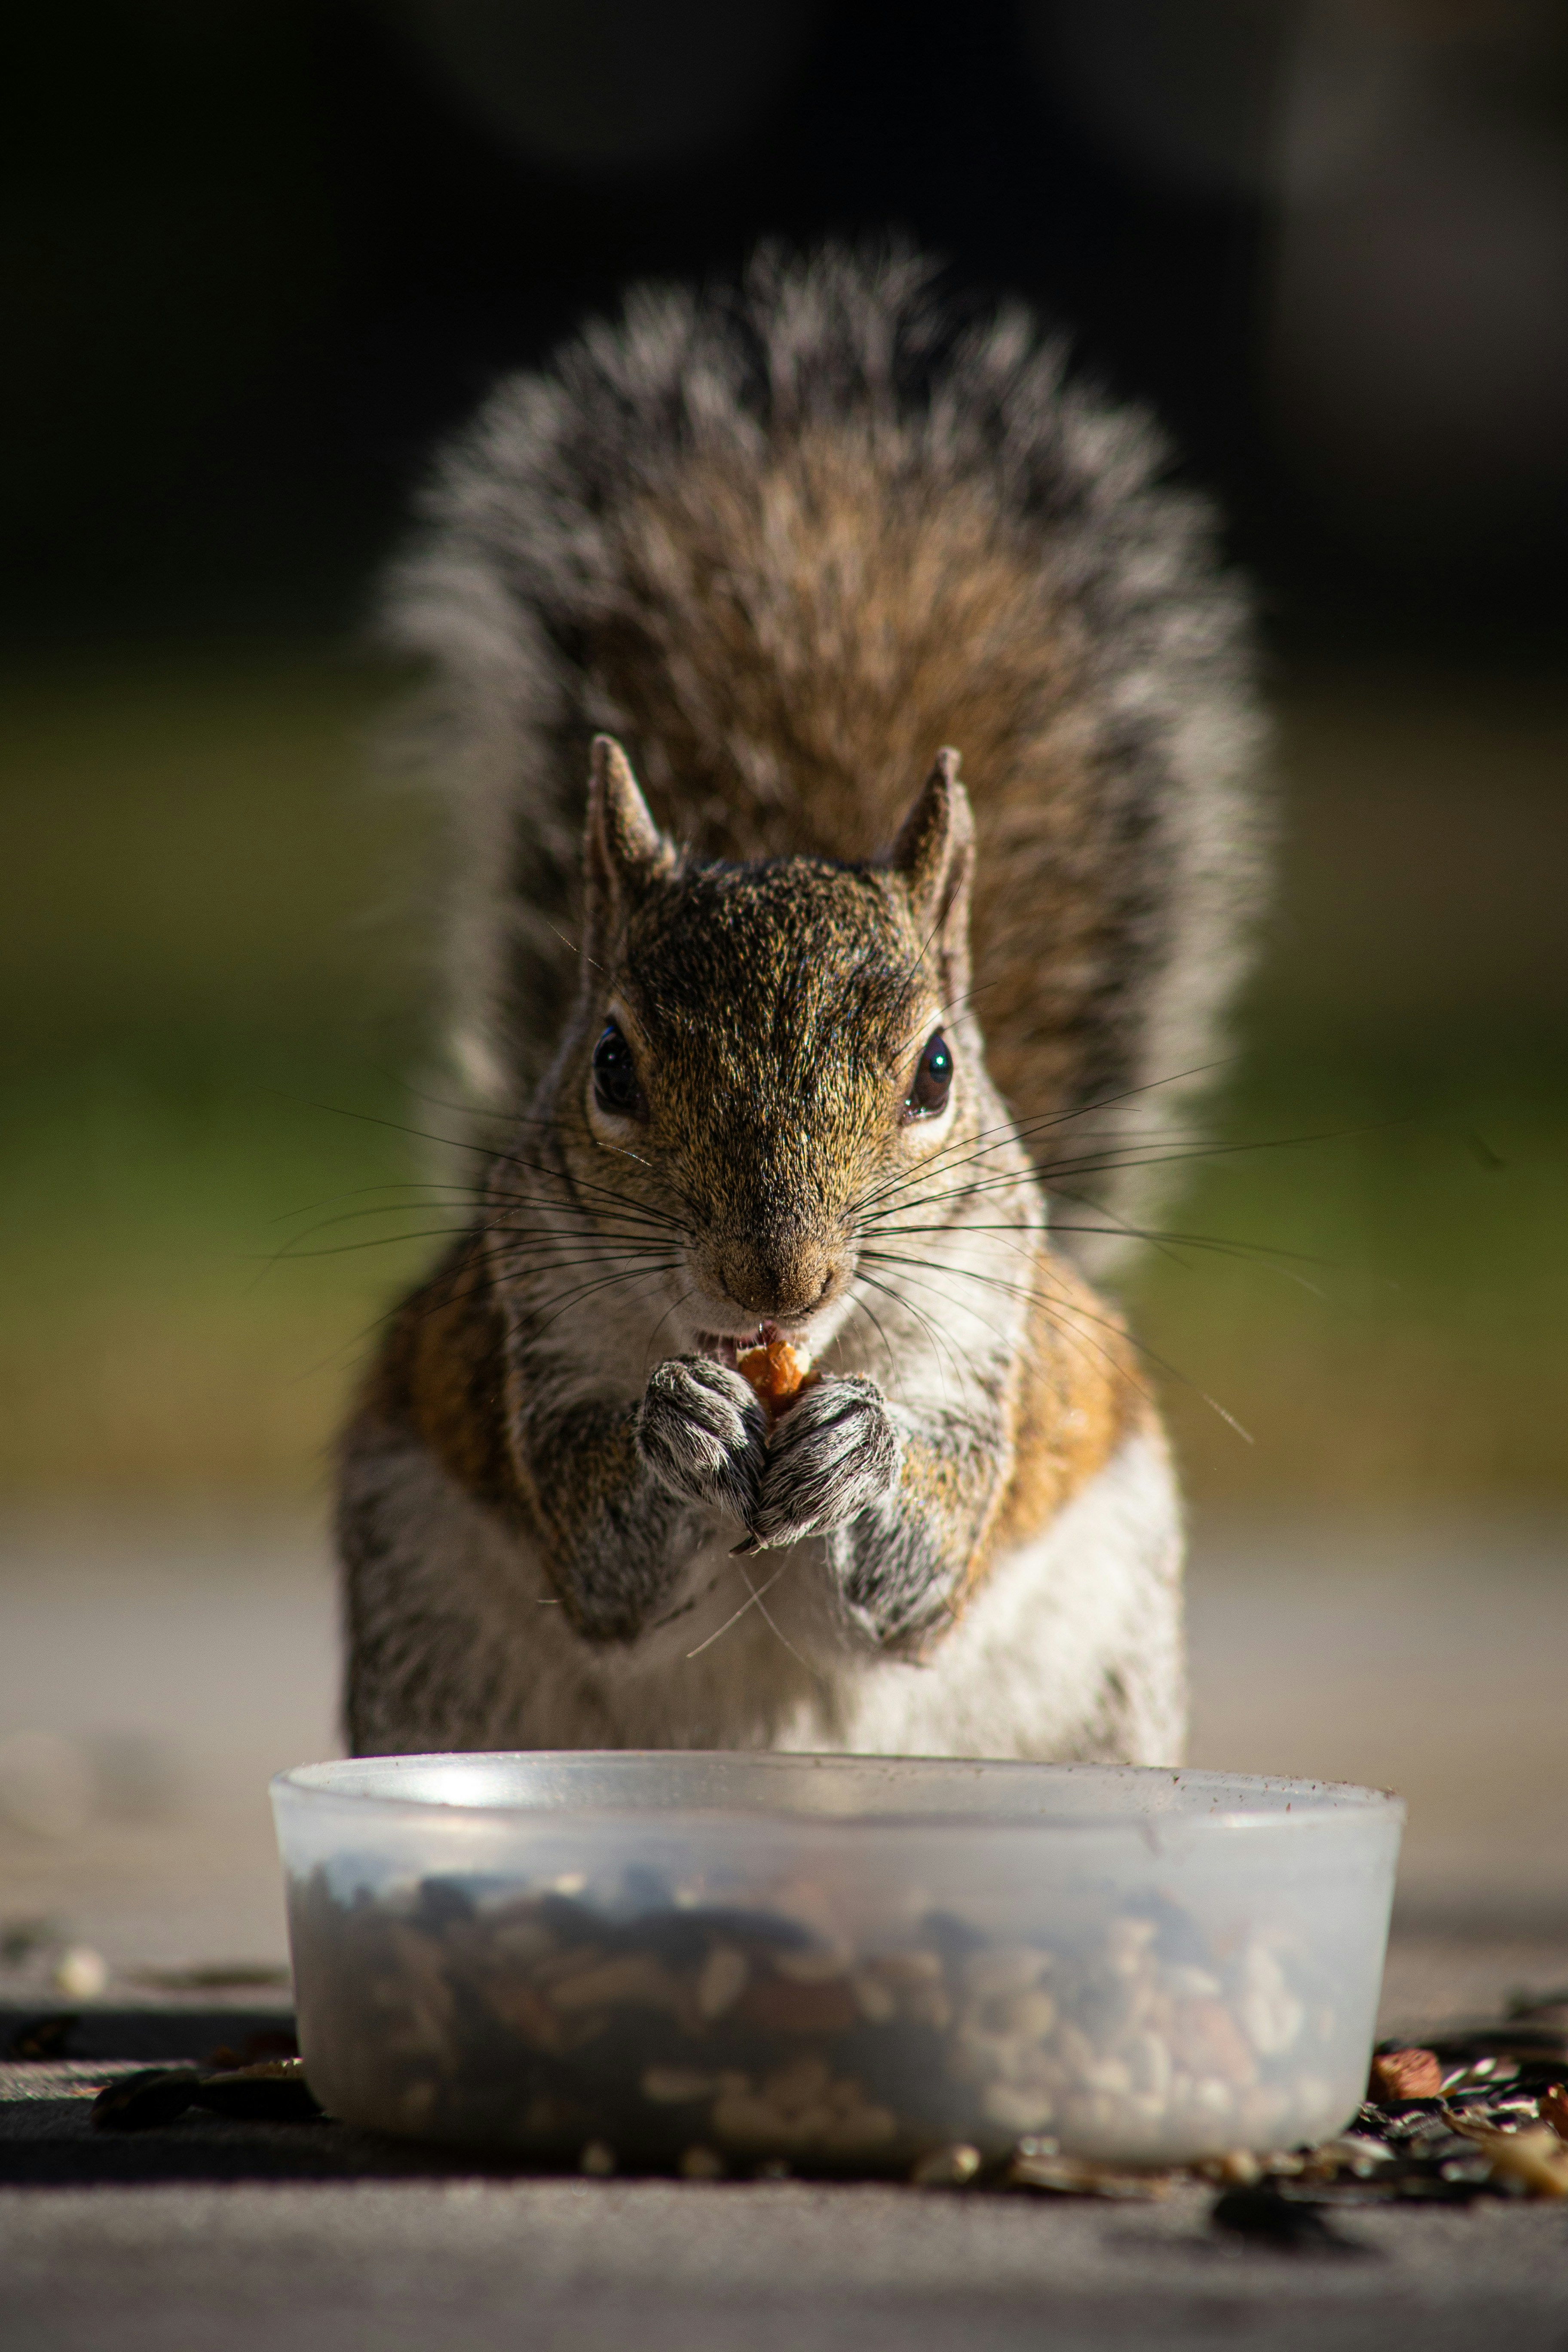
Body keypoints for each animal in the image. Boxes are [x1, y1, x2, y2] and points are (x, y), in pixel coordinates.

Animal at [338, 248, 1267, 1767]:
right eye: (610, 1067)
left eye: (937, 1071)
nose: (777, 1282)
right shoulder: (534, 1325)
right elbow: (598, 1566)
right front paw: (679, 1436)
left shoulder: (980, 1348)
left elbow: (915, 1585)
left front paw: (860, 1455)